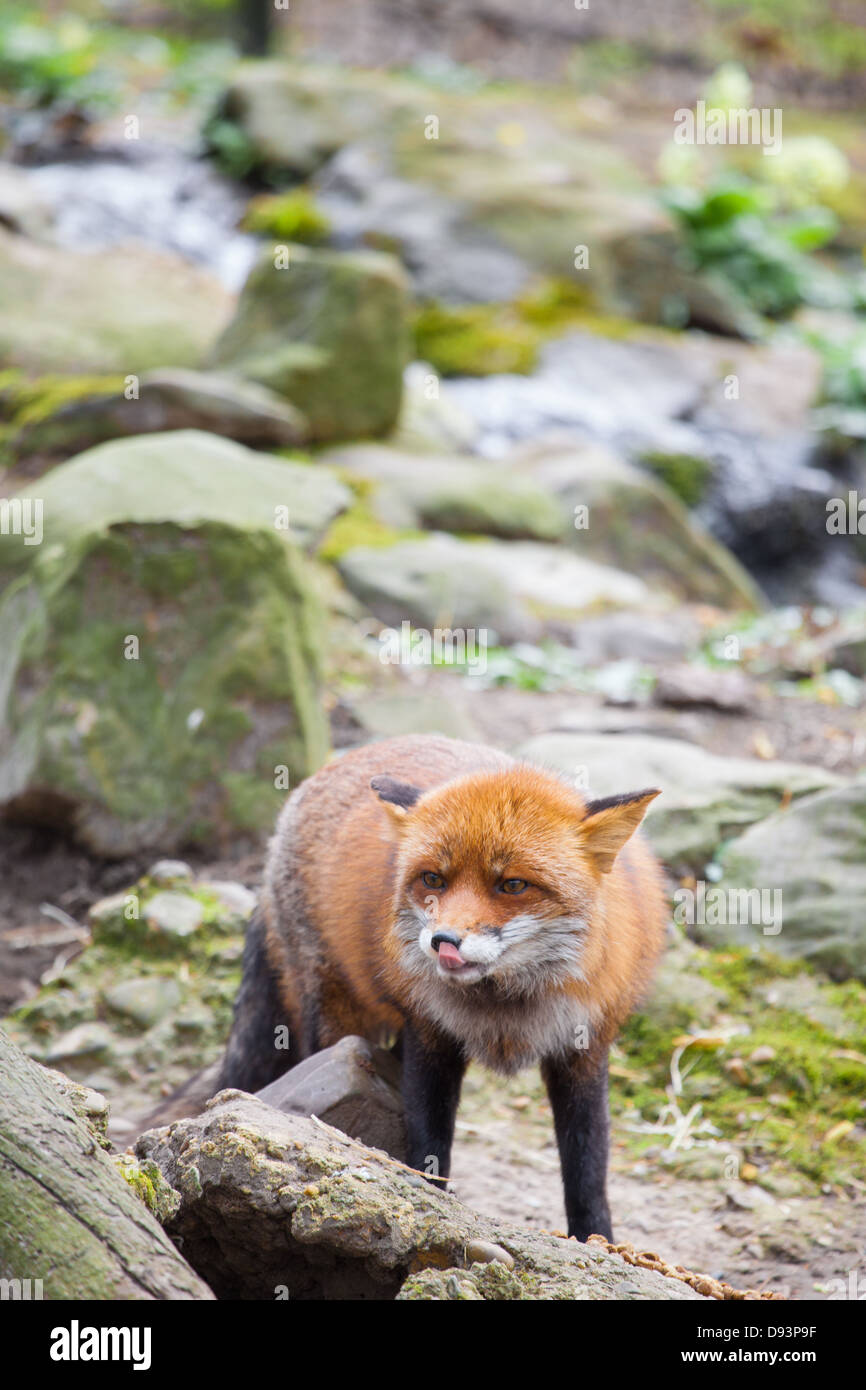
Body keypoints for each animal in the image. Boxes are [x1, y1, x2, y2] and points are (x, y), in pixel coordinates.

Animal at [217, 733, 668, 1241]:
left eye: (513, 884)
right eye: (433, 878)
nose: (443, 942)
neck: (508, 1006)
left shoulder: (583, 1047)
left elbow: (587, 1168)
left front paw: (597, 1241)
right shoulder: (429, 1032)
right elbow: (431, 1142)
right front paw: (430, 1207)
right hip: (335, 1014)